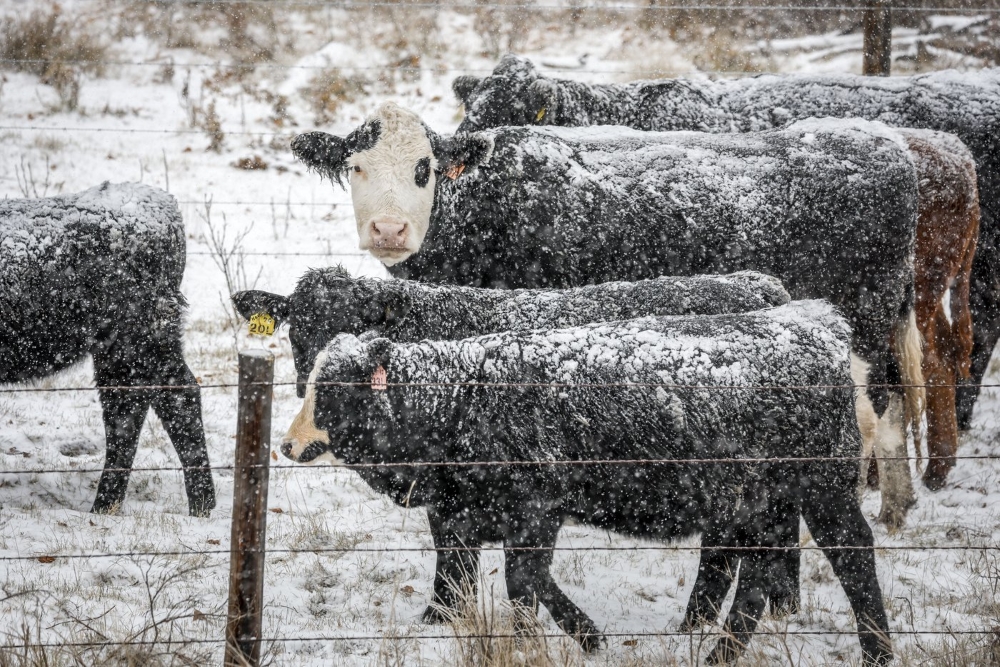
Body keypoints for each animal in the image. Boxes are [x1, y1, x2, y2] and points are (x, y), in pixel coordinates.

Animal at [284, 300, 892, 666]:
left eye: (332, 391)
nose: (286, 445)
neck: (462, 398)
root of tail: (816, 320)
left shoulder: (534, 508)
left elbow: (524, 581)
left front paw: (566, 639)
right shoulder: (479, 514)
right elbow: (495, 576)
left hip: (821, 489)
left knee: (851, 554)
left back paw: (877, 651)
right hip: (758, 502)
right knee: (755, 575)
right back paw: (711, 647)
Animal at [290, 102, 923, 527]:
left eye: (424, 168)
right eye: (357, 168)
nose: (389, 229)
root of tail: (880, 140)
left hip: (866, 318)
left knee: (875, 407)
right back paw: (897, 503)